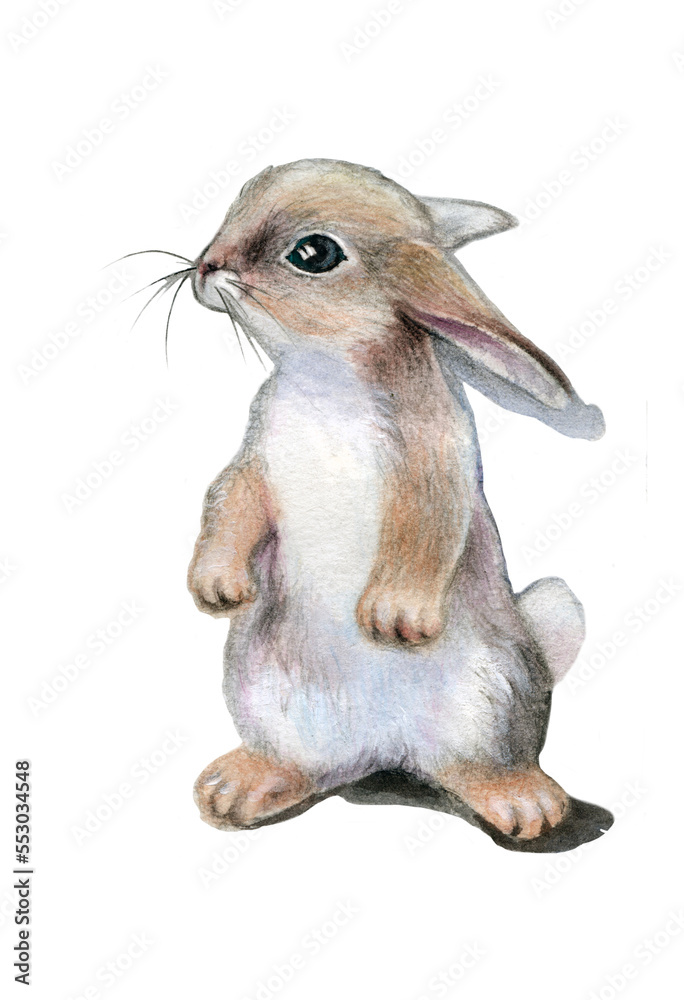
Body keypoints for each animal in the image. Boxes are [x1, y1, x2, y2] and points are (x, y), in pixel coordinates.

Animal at [186, 158, 605, 842]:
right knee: (309, 765)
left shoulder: (436, 469)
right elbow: (231, 503)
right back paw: (238, 789)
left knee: (477, 765)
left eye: (314, 254)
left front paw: (395, 618)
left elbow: (428, 529)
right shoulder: (256, 464)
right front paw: (218, 588)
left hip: (490, 698)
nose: (204, 266)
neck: (329, 376)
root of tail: (387, 749)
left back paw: (525, 806)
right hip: (267, 694)